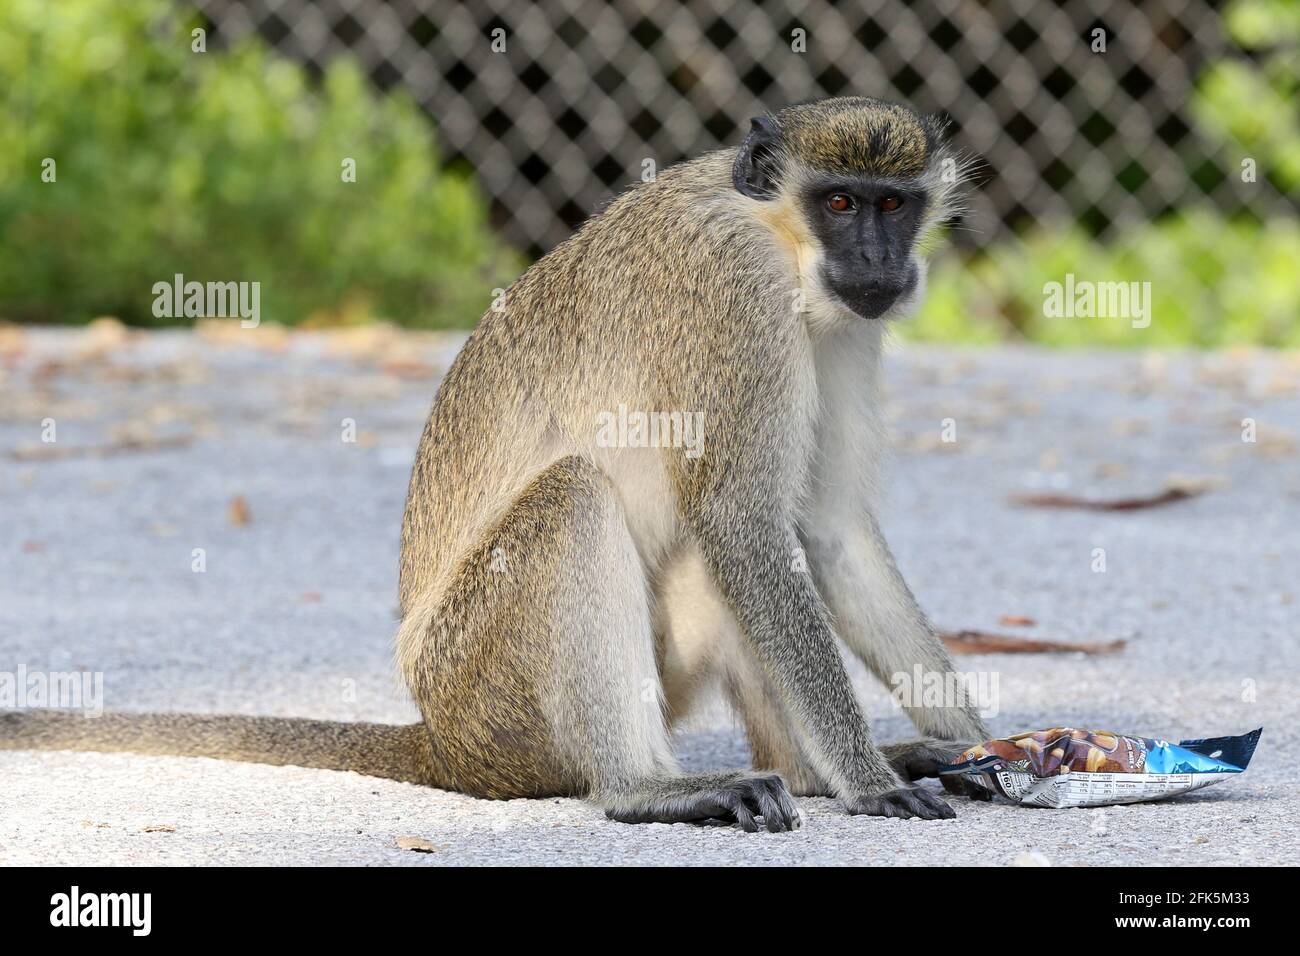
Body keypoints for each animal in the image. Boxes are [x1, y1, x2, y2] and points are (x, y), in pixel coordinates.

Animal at [3, 97, 992, 832]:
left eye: (893, 204)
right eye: (839, 203)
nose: (877, 259)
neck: (776, 237)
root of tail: (439, 736)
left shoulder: (846, 326)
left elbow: (827, 531)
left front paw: (978, 743)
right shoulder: (735, 298)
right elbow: (745, 526)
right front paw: (869, 782)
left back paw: (806, 770)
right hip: (487, 688)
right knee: (581, 498)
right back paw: (647, 790)